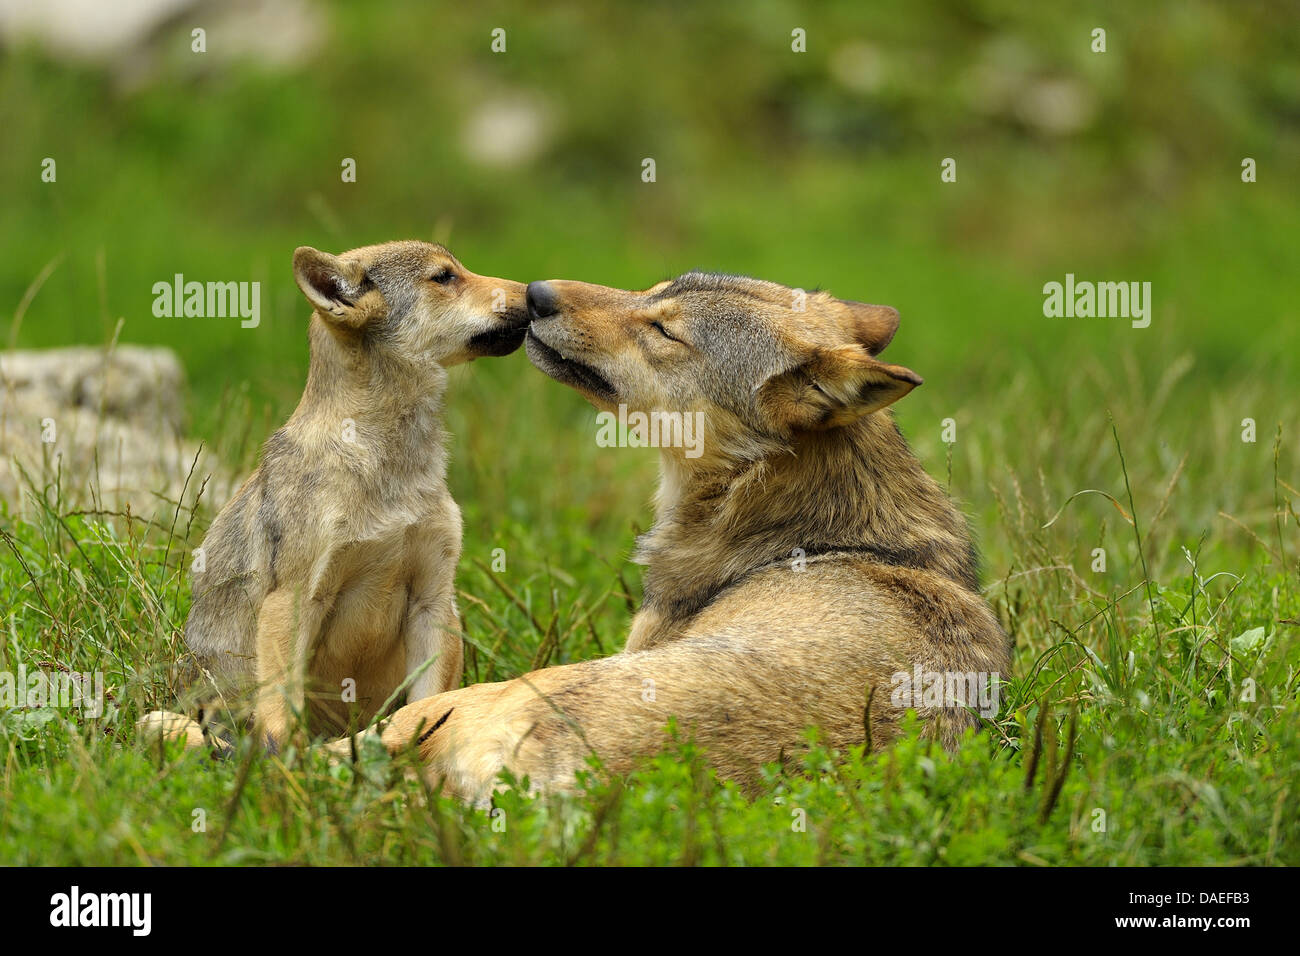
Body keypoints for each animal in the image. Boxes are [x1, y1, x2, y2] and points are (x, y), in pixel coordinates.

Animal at [139, 241, 528, 749]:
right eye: (444, 277)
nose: (538, 293)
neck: (389, 467)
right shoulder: (296, 598)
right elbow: (281, 717)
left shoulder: (433, 599)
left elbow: (427, 707)